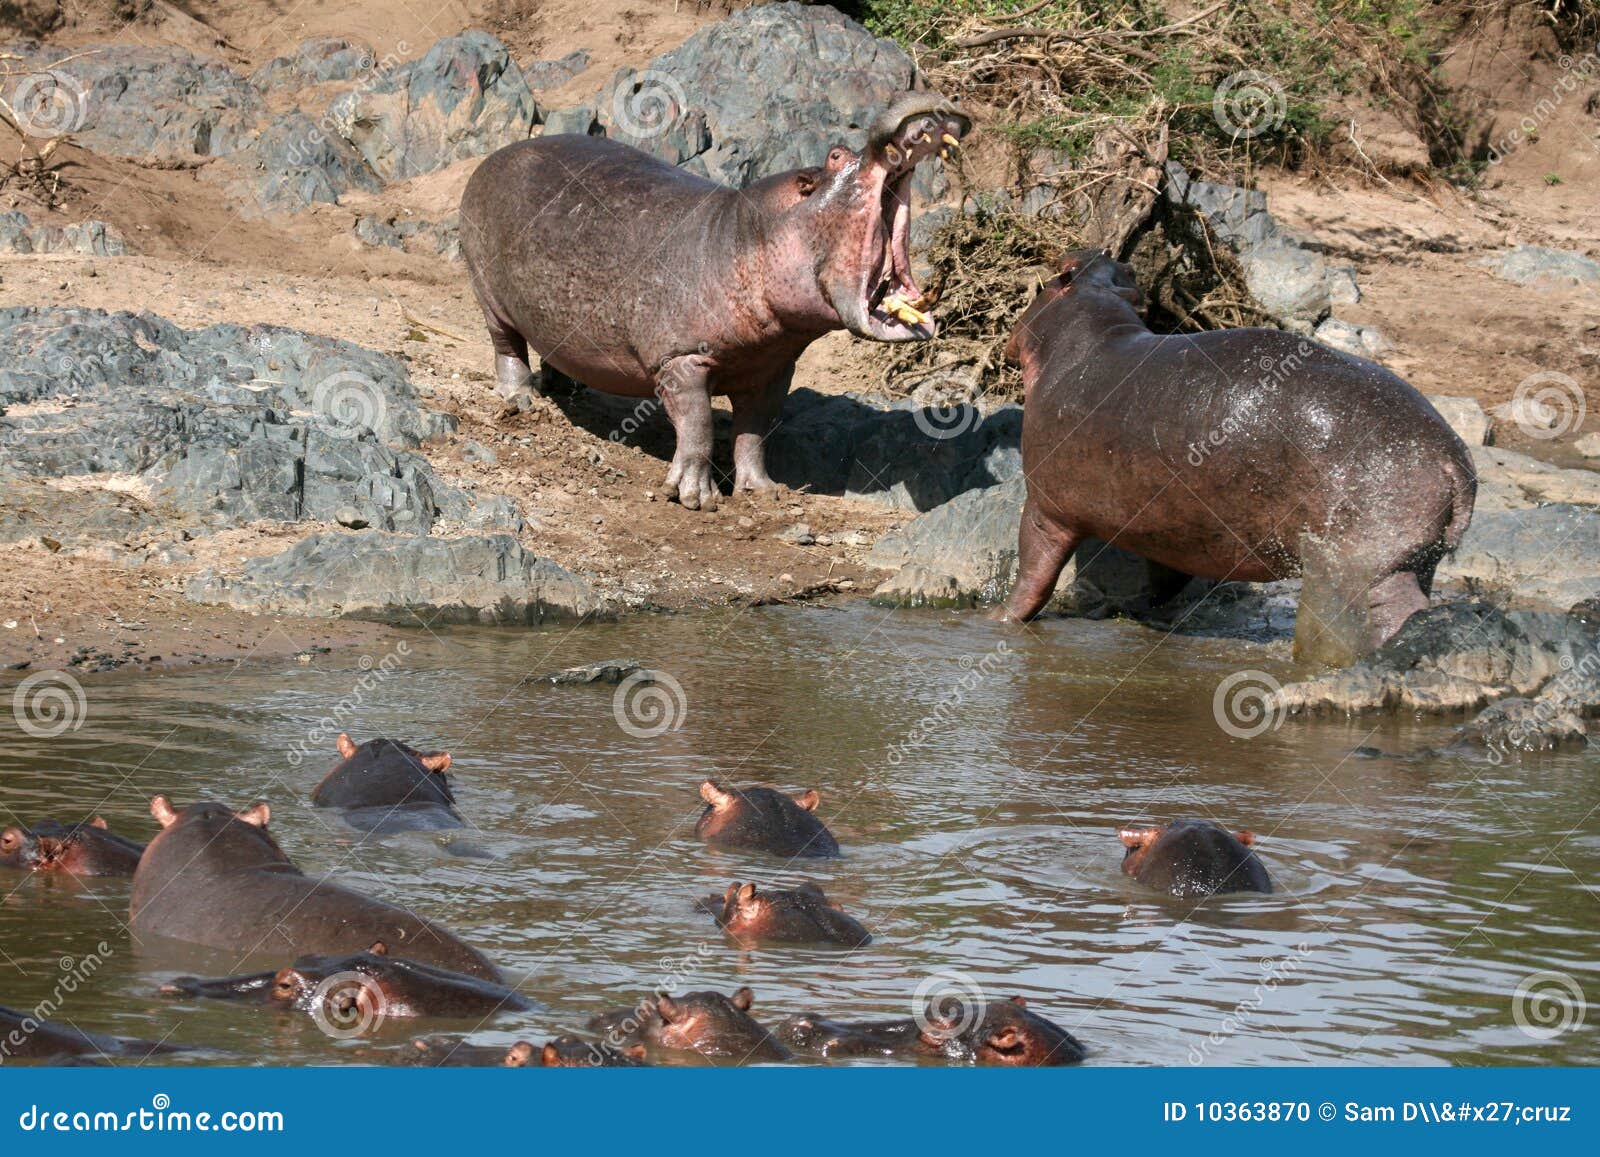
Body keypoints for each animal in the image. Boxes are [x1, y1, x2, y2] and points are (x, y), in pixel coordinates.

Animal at [459, 94, 970, 510]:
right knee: (507, 346)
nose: (924, 115)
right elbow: (699, 428)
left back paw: (567, 389)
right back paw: (521, 402)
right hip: (488, 294)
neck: (742, 235)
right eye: (837, 154)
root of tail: (491, 159)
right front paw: (694, 498)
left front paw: (763, 492)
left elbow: (754, 433)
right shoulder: (681, 361)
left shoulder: (771, 369)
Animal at [996, 249, 1476, 658]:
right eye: (1123, 273)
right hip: (1416, 557)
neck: (1088, 333)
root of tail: (1452, 458)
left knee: (1380, 613)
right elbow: (1164, 578)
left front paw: (997, 618)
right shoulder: (1163, 523)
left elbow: (1033, 572)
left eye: (1046, 282)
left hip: (1360, 564)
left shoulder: (1045, 507)